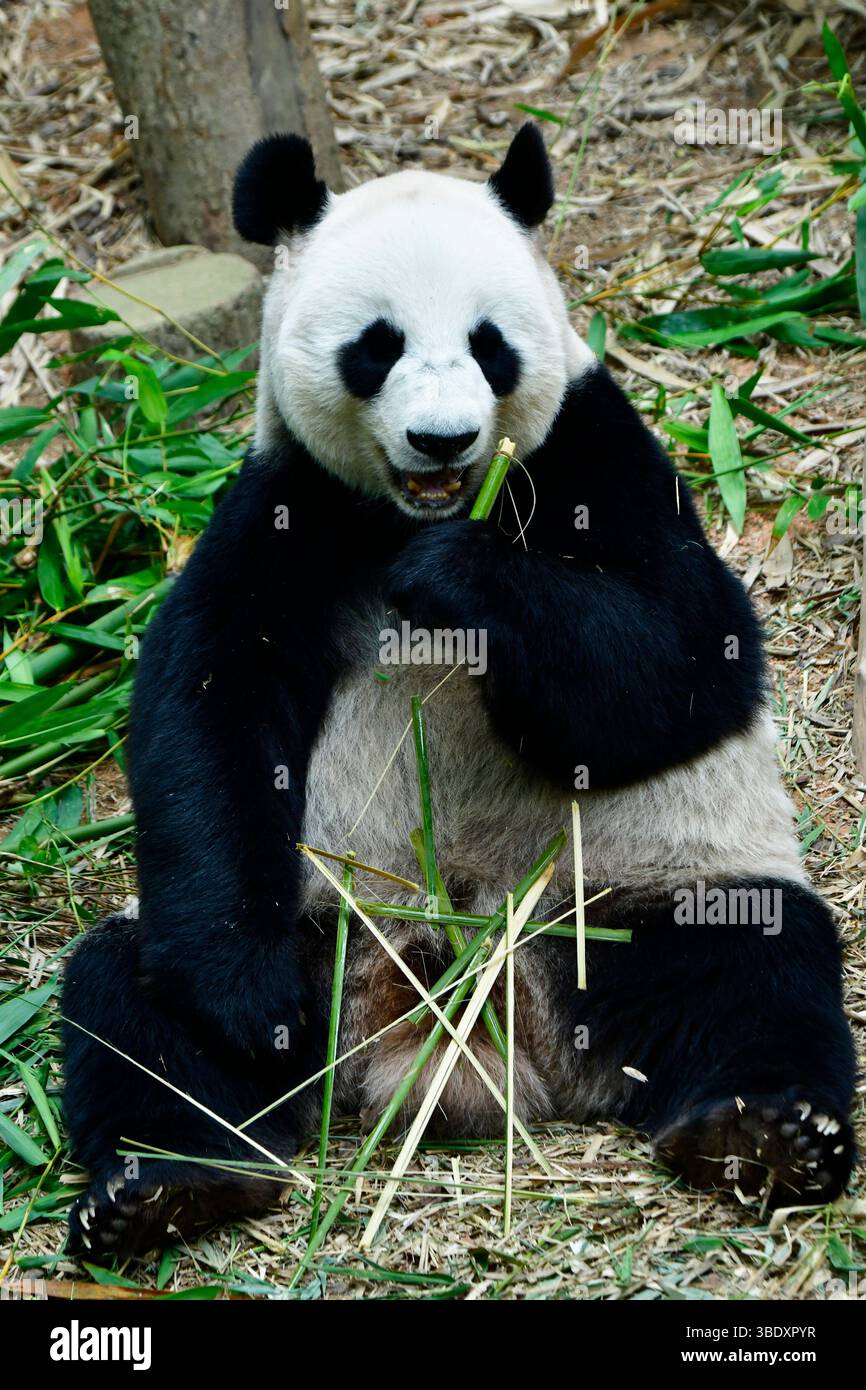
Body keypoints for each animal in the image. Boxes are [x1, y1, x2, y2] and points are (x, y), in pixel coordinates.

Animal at [62, 125, 856, 1260]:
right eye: (377, 345)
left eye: (489, 345)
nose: (443, 440)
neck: (407, 513)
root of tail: (467, 1043)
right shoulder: (286, 506)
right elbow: (206, 712)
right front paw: (243, 1000)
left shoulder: (594, 449)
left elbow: (686, 659)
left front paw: (457, 575)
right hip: (321, 918)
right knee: (132, 997)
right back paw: (171, 1181)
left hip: (621, 905)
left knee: (753, 962)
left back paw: (761, 1135)